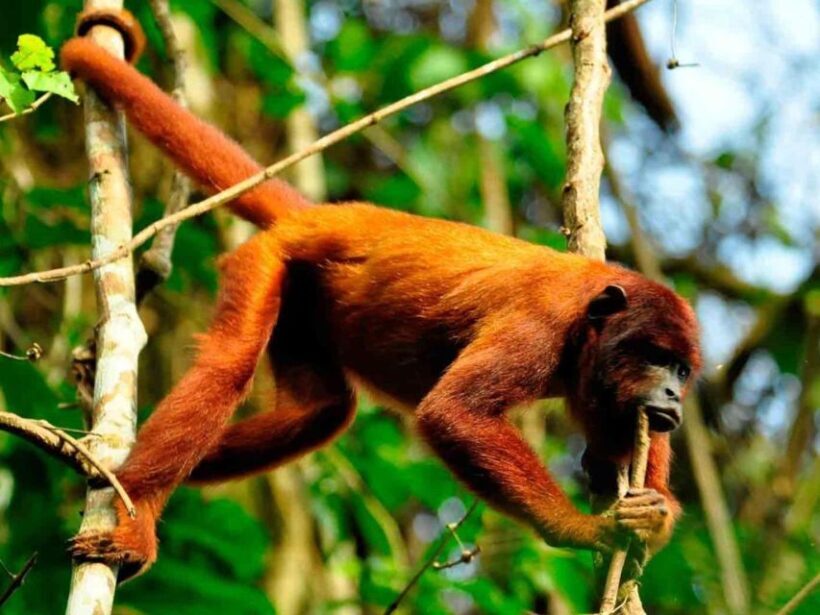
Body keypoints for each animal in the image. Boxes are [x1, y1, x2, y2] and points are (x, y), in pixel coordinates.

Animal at [60, 11, 700, 582]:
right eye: (654, 357)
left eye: (681, 370)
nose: (673, 395)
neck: (589, 314)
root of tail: (324, 215)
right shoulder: (539, 324)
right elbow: (454, 413)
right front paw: (583, 529)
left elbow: (618, 444)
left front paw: (656, 516)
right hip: (266, 260)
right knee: (228, 366)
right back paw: (137, 505)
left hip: (305, 302)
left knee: (319, 412)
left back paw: (120, 470)